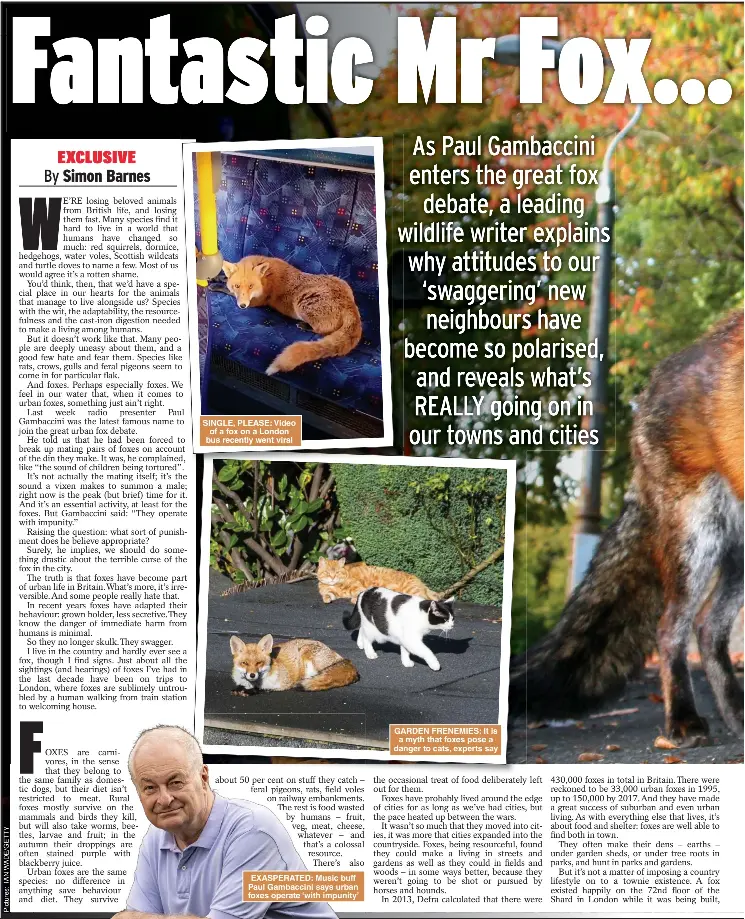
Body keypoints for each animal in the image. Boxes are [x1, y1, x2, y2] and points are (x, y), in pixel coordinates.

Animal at [222, 256, 362, 375]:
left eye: (251, 286)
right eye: (237, 286)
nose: (242, 306)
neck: (265, 275)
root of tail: (350, 304)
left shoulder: (257, 301)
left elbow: (225, 290)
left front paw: (218, 285)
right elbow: (225, 282)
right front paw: (218, 278)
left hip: (301, 303)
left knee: (323, 330)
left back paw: (305, 326)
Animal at [229, 634, 360, 693]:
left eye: (259, 663)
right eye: (244, 663)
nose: (252, 675)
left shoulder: (284, 684)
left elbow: (265, 688)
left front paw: (250, 691)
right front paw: (240, 689)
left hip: (306, 653)